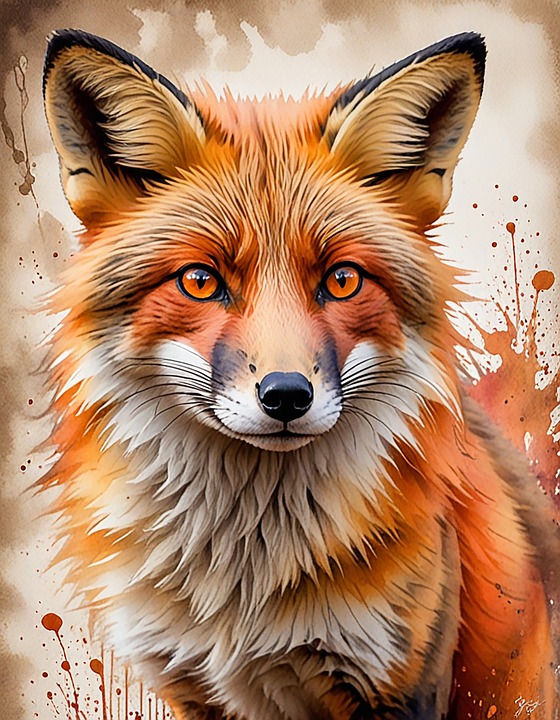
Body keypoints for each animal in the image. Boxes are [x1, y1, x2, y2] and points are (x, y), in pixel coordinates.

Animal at [40, 28, 559, 720]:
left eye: (341, 280)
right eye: (200, 280)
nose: (286, 396)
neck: (244, 583)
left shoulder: (402, 683)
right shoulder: (190, 686)